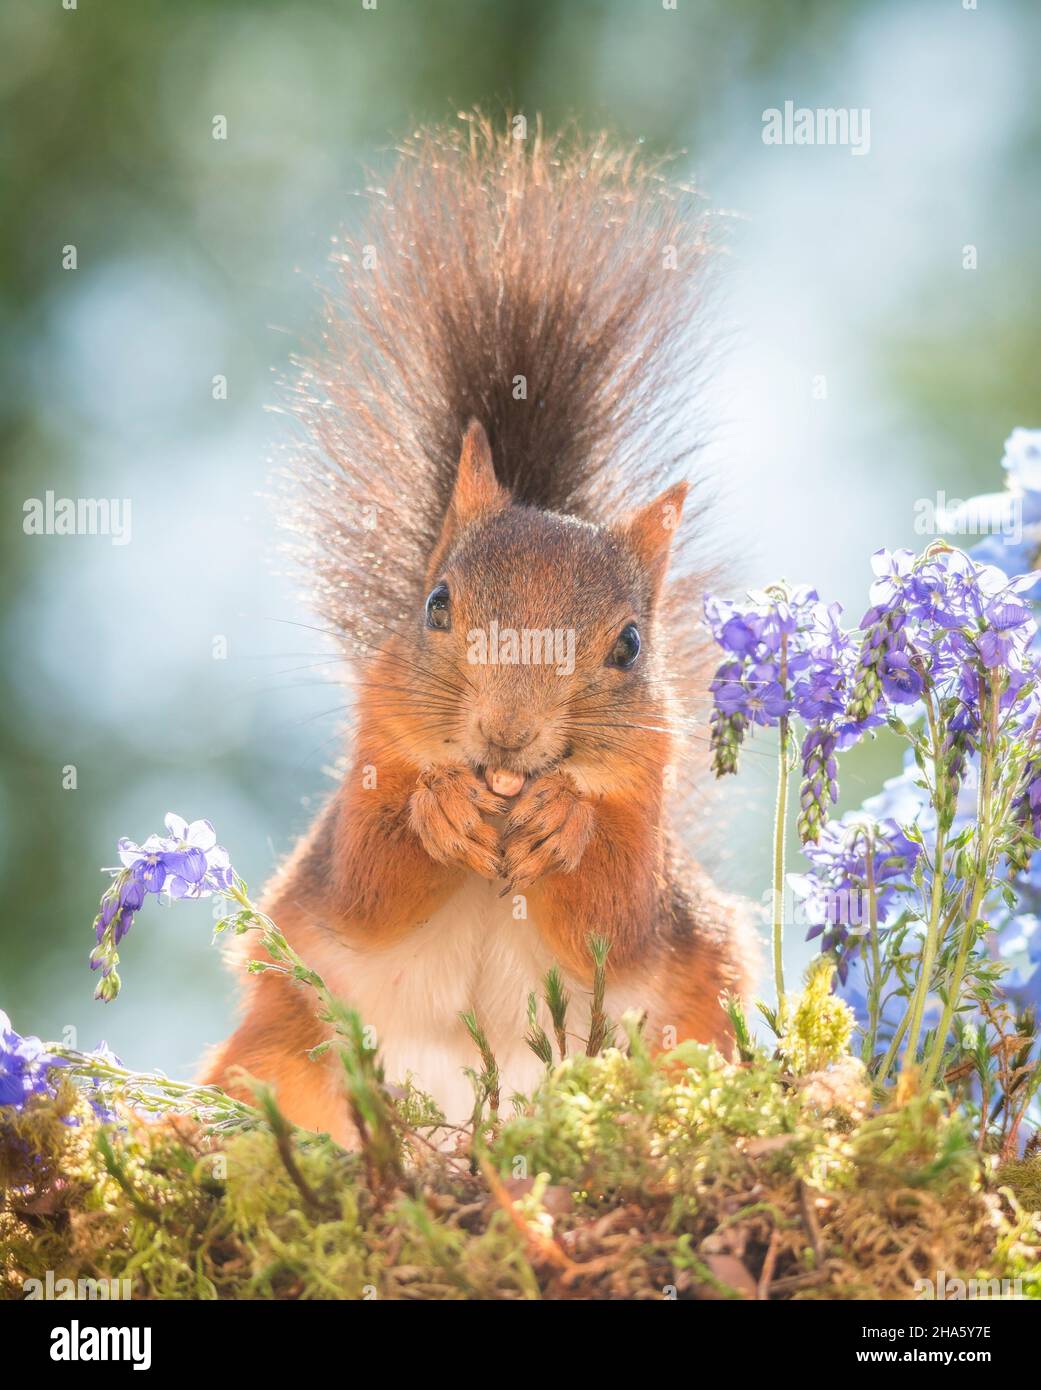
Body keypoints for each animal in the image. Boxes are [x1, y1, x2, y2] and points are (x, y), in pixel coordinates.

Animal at [202, 115, 758, 1142]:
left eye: (629, 645)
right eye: (436, 605)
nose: (505, 738)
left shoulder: (650, 857)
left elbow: (613, 912)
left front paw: (562, 820)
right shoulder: (353, 810)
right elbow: (370, 882)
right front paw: (442, 811)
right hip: (283, 1049)